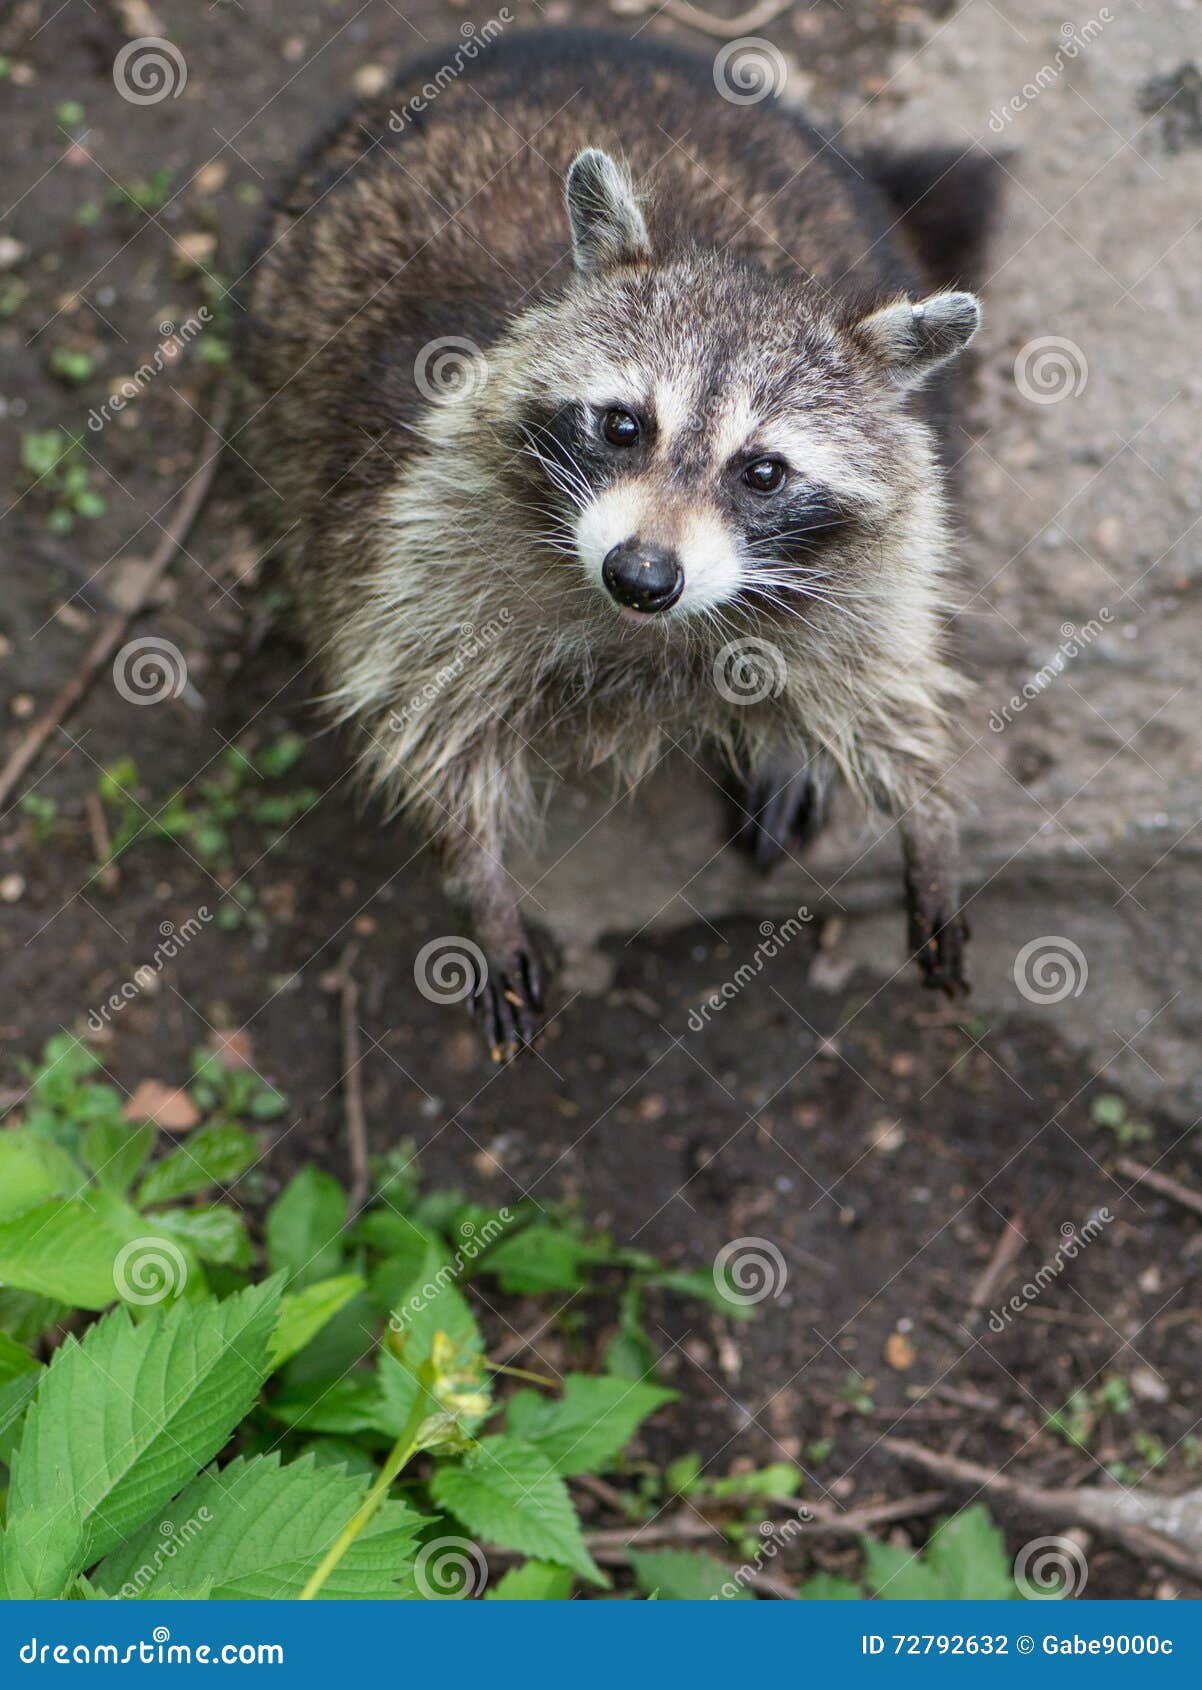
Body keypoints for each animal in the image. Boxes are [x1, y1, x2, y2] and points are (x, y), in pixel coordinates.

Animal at [235, 29, 997, 1059]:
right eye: (624, 425)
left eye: (764, 472)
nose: (641, 576)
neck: (645, 633)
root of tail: (580, 38)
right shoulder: (411, 534)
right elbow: (426, 714)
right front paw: (478, 878)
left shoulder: (873, 551)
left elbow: (881, 679)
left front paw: (925, 812)